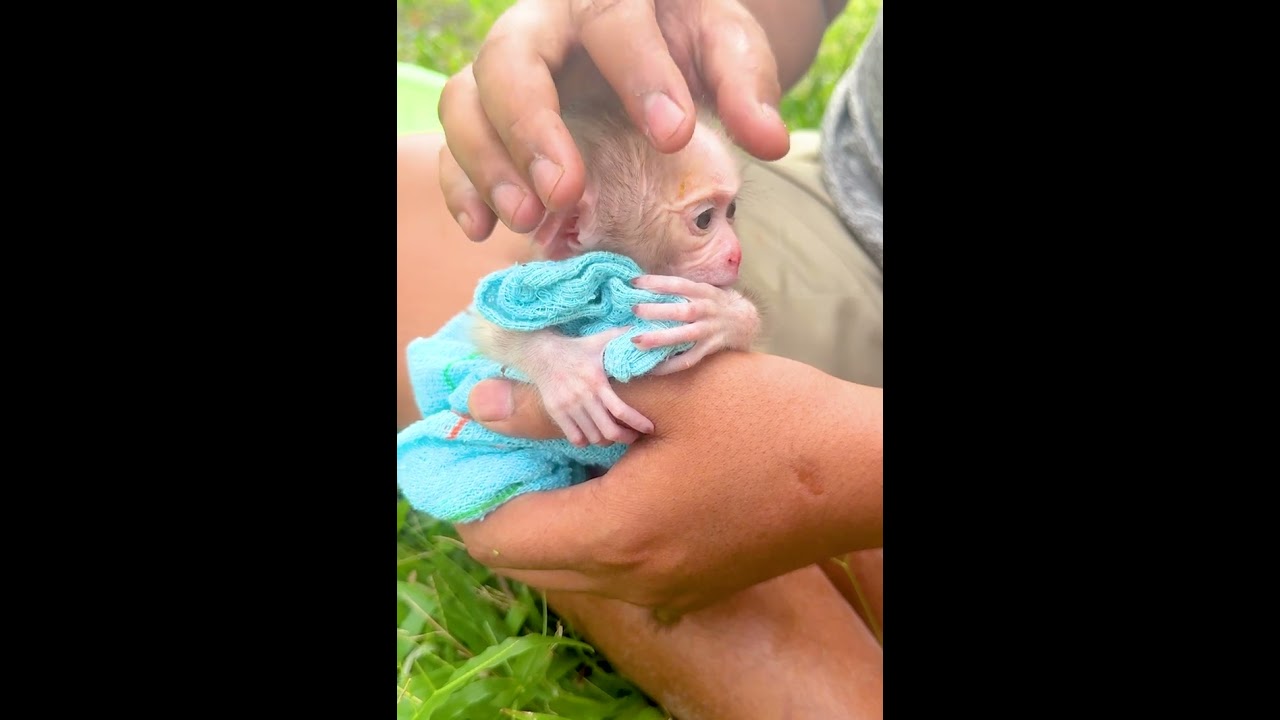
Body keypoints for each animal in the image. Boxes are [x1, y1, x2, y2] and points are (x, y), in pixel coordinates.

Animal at [471, 100, 762, 448]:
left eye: (731, 211)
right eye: (705, 219)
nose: (737, 254)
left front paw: (717, 314)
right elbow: (488, 321)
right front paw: (567, 371)